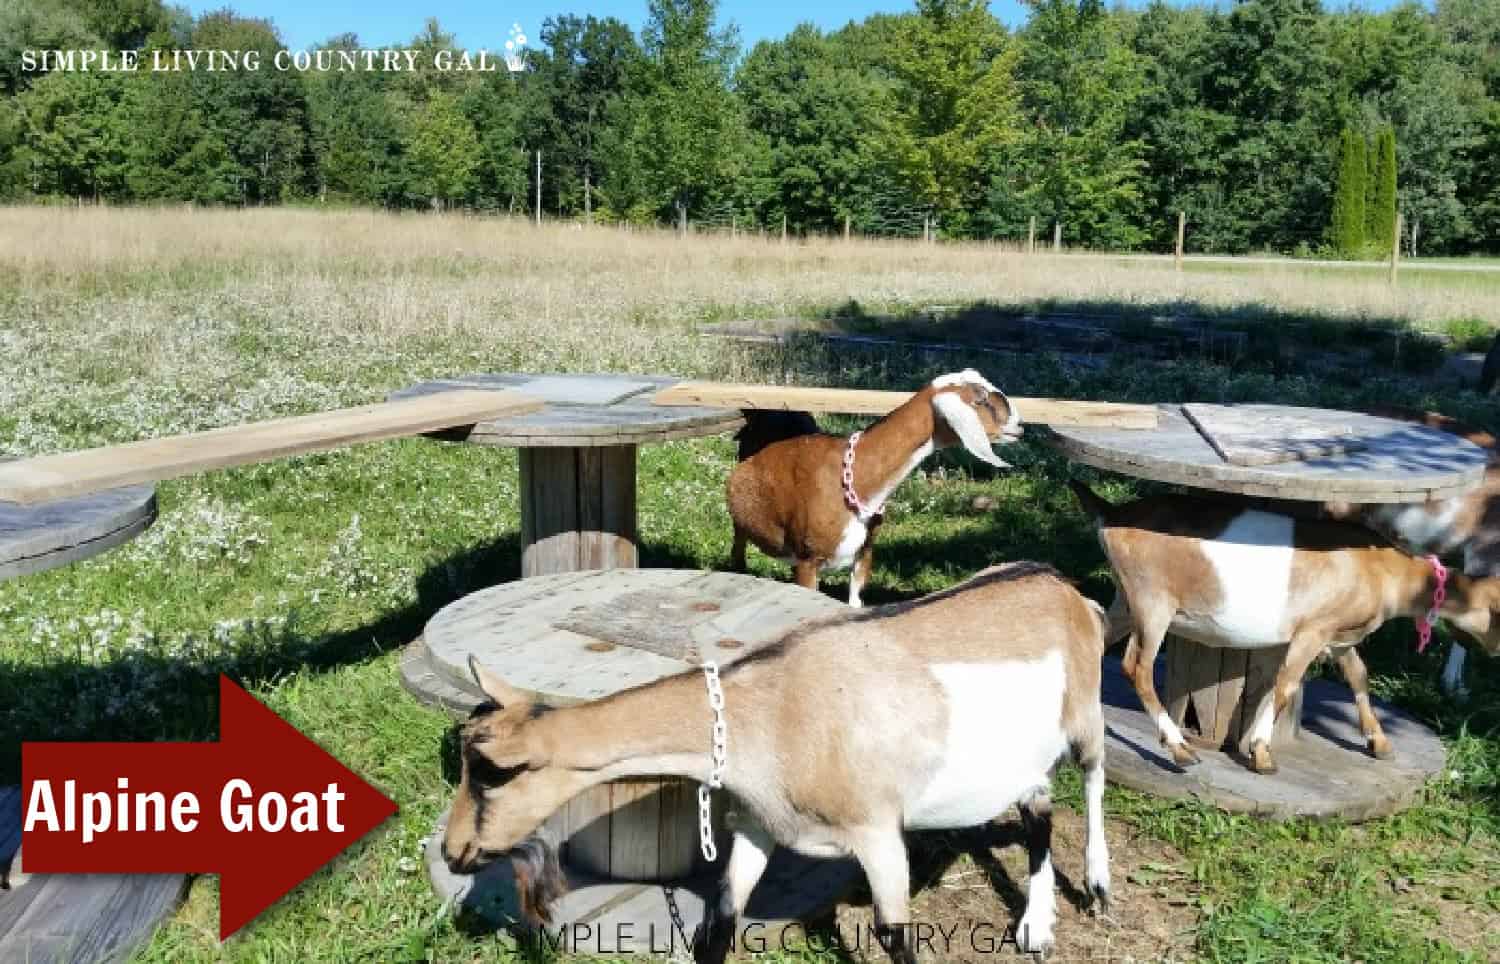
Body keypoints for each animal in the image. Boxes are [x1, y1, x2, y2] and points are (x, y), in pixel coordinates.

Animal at [441, 562, 1112, 962]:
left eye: (494, 774)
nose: (453, 853)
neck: (773, 711)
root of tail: (1061, 585)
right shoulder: (760, 827)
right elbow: (720, 921)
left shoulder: (878, 833)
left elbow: (895, 937)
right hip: (1021, 757)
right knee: (1039, 811)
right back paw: (1035, 925)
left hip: (1085, 715)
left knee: (1093, 776)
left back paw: (1096, 888)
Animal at [726, 370, 1021, 606]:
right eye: (980, 399)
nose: (1019, 426)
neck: (859, 476)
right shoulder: (807, 561)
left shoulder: (865, 551)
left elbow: (855, 602)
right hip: (742, 526)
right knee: (737, 553)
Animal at [1071, 482, 1500, 774]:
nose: (1494, 651)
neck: (1385, 571)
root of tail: (1110, 515)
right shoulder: (1312, 630)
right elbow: (1285, 684)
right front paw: (1261, 753)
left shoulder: (1340, 636)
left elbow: (1359, 675)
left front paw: (1379, 741)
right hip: (1153, 602)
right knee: (1136, 667)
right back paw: (1180, 750)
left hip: (1126, 601)